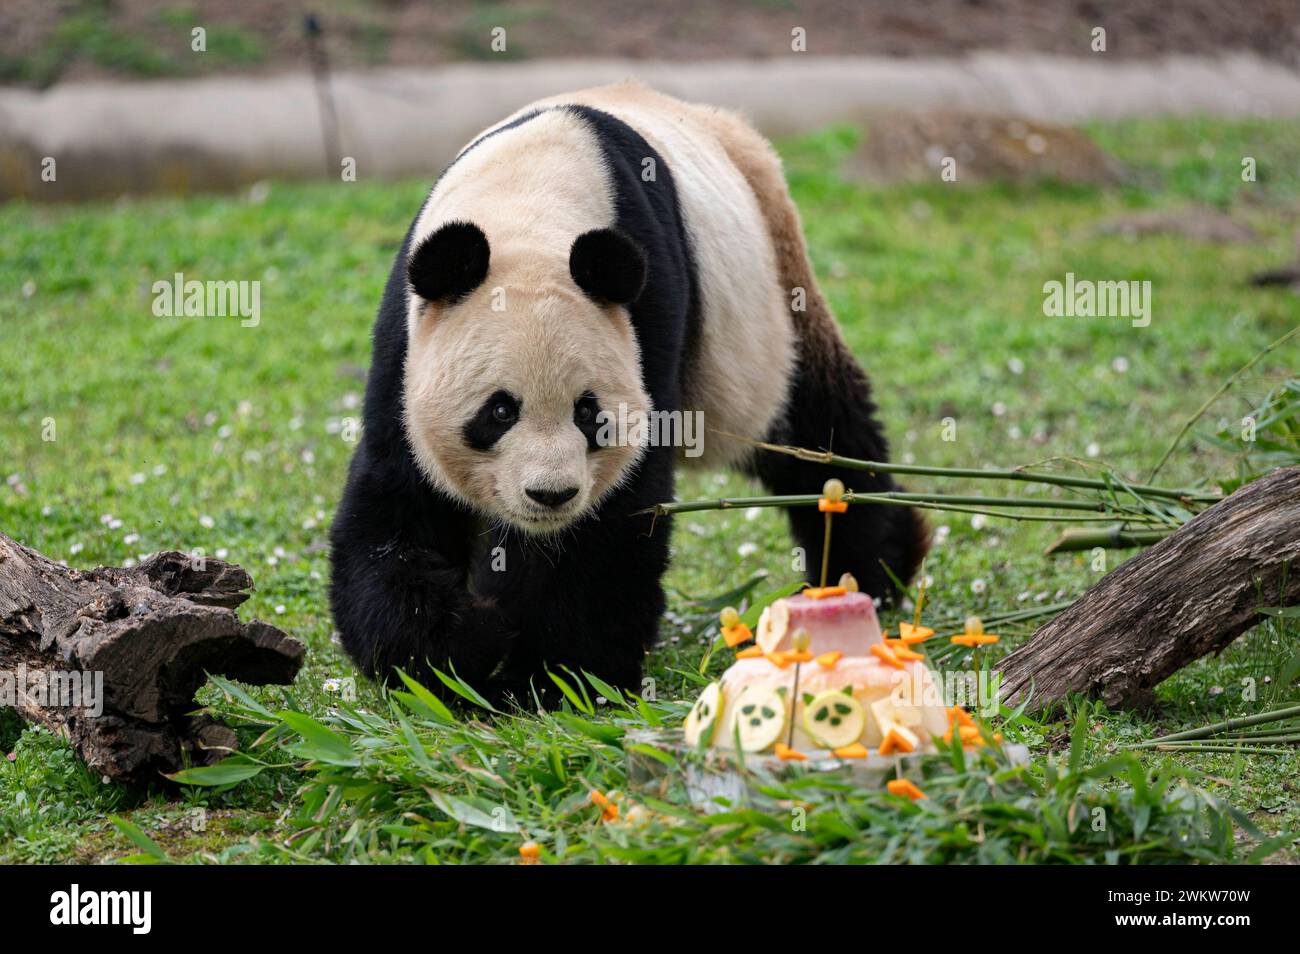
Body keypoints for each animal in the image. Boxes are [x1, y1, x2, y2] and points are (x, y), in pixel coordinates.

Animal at [330, 82, 928, 703]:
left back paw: (867, 572)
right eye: (499, 411)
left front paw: (553, 678)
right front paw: (468, 643)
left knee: (815, 430)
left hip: (770, 295)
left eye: (589, 414)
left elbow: (611, 524)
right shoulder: (406, 342)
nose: (551, 496)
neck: (527, 206)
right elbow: (397, 509)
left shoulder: (650, 309)